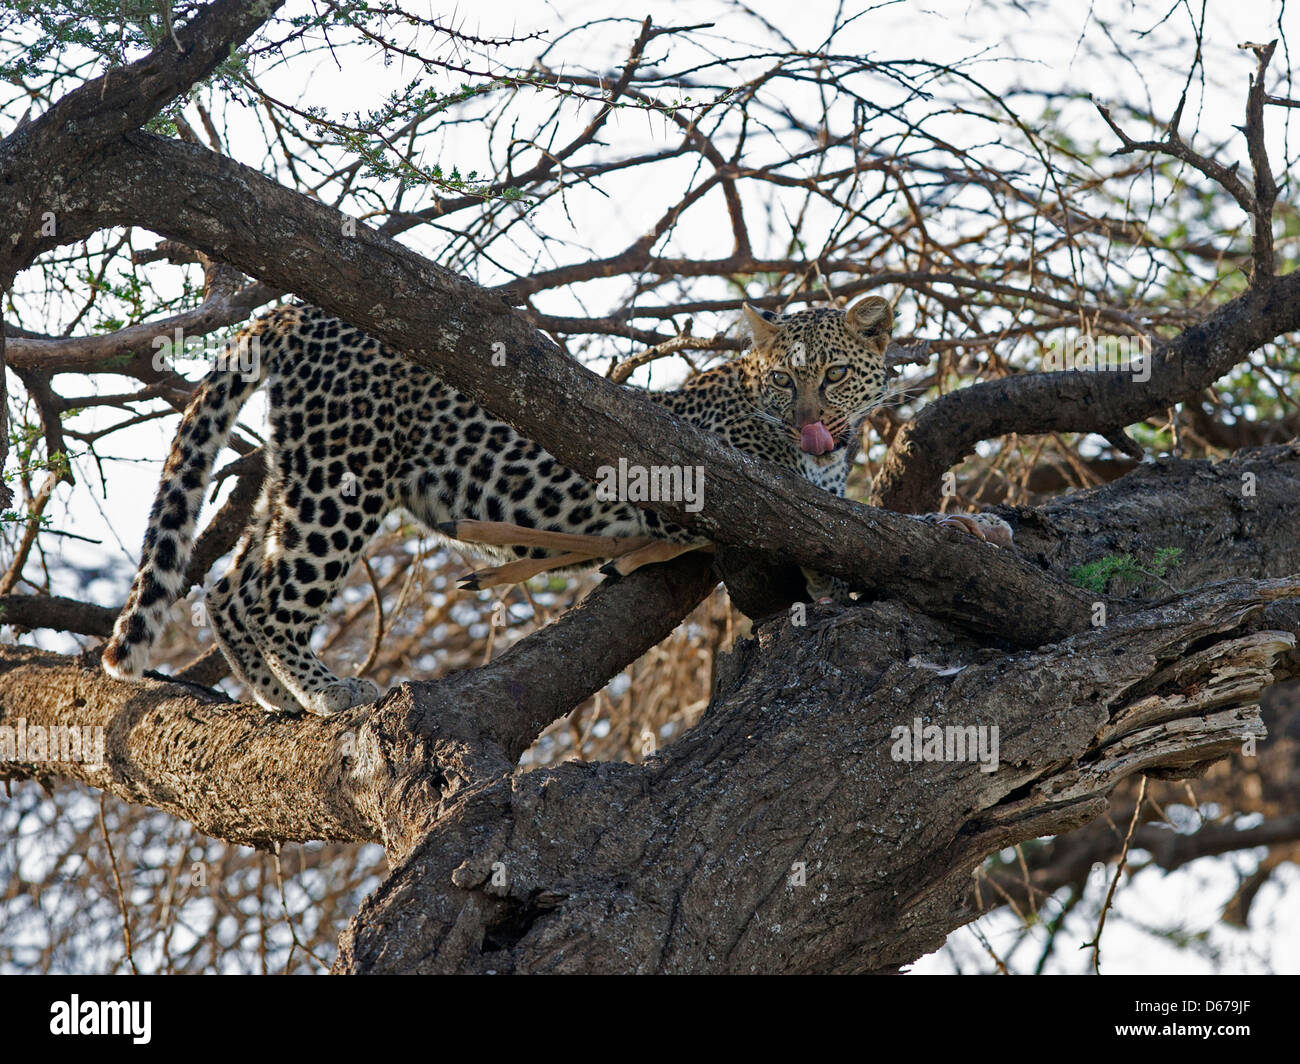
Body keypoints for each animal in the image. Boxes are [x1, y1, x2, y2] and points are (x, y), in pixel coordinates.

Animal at [102, 294, 1009, 716]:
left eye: (835, 374)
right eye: (786, 380)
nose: (811, 422)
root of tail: (296, 306)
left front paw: (974, 521)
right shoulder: (756, 503)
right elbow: (870, 538)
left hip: (299, 472)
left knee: (230, 584)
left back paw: (274, 698)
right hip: (346, 475)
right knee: (270, 592)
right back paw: (328, 693)